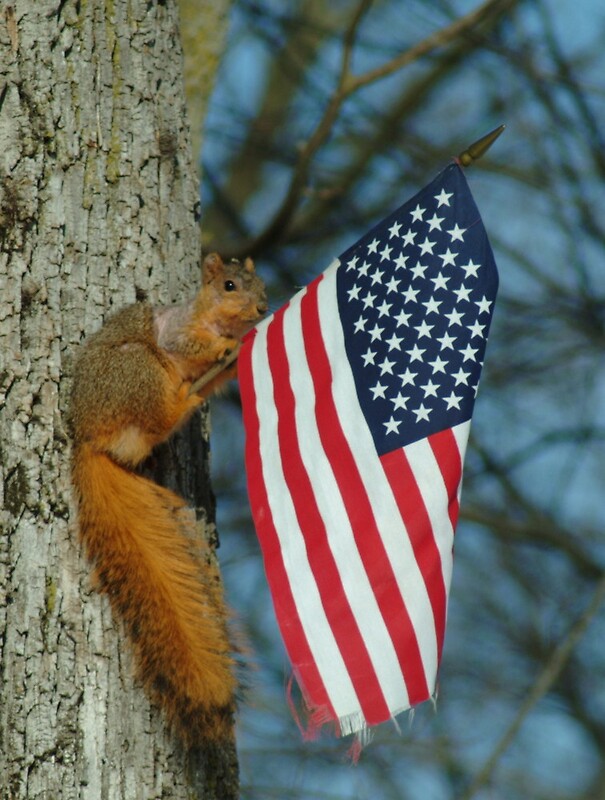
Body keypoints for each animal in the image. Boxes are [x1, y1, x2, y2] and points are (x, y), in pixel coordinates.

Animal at [67, 252, 267, 747]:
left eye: (262, 286)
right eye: (229, 285)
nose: (262, 308)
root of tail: (93, 441)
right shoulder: (176, 332)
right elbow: (191, 345)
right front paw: (220, 348)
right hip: (139, 372)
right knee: (160, 409)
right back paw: (181, 401)